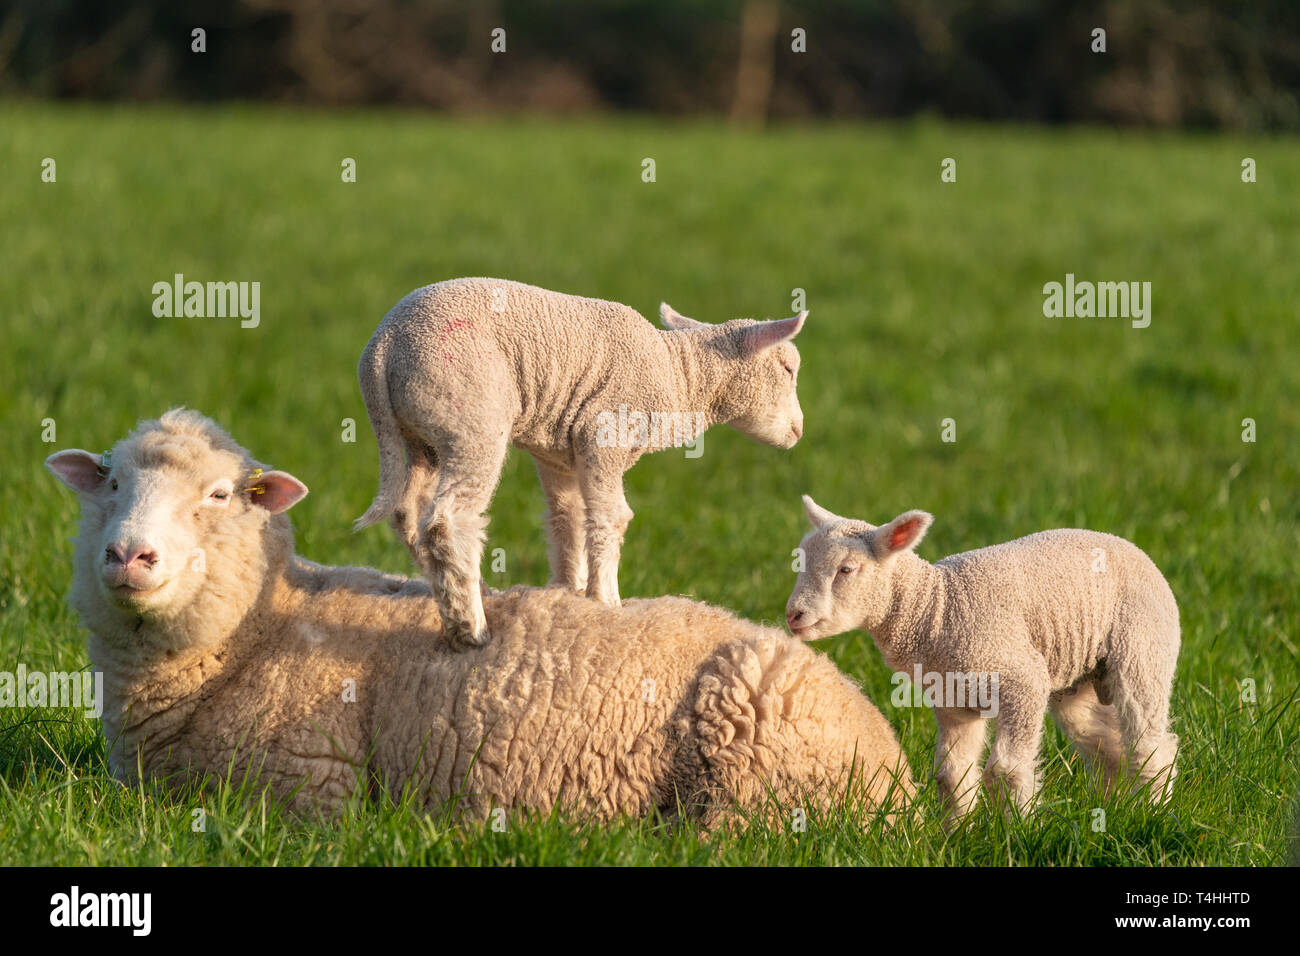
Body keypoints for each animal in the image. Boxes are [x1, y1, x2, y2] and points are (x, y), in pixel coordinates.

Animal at [43, 410, 912, 827]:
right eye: (111, 482)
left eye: (221, 495)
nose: (129, 556)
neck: (259, 633)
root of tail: (895, 773)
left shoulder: (311, 795)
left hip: (758, 776)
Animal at [354, 277, 808, 649]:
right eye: (788, 368)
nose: (800, 432)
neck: (679, 379)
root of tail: (382, 346)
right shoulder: (605, 432)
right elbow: (611, 517)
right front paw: (607, 600)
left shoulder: (558, 454)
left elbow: (567, 518)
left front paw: (568, 591)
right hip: (470, 413)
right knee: (449, 522)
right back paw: (471, 627)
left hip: (418, 437)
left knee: (409, 516)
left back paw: (464, 597)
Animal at [785, 495, 1180, 824]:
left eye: (847, 569)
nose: (793, 615)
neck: (936, 607)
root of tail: (1130, 545)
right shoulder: (952, 699)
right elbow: (951, 774)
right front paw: (955, 834)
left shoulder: (1022, 680)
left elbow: (1007, 768)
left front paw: (1018, 831)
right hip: (1077, 680)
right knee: (1104, 745)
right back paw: (1117, 807)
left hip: (1143, 648)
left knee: (1148, 742)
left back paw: (1155, 811)